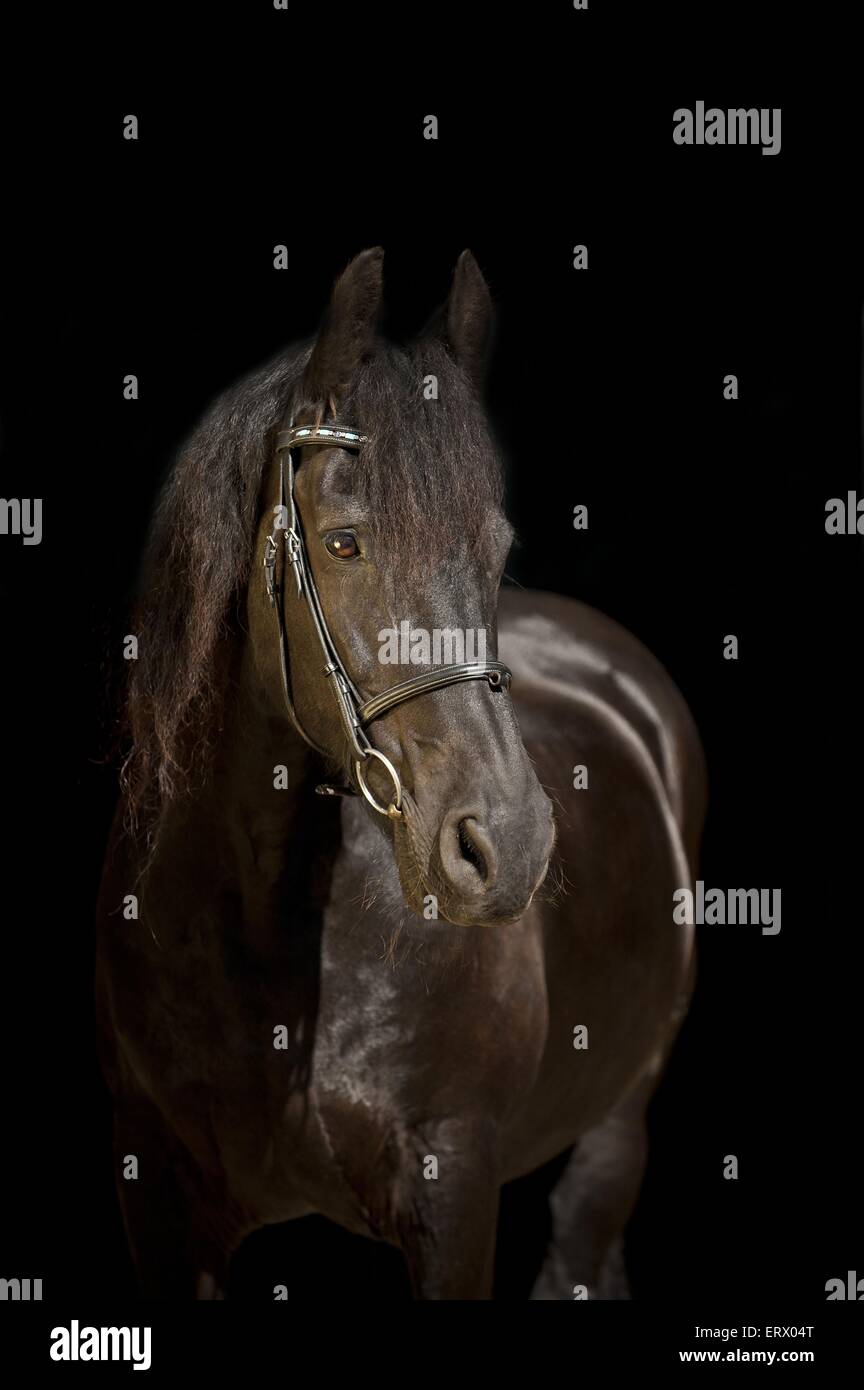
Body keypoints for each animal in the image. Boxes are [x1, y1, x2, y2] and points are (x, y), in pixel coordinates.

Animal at [95, 248, 706, 1300]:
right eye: (344, 542)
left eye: (497, 551)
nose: (509, 847)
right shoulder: (159, 1207)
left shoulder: (453, 1193)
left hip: (616, 1129)